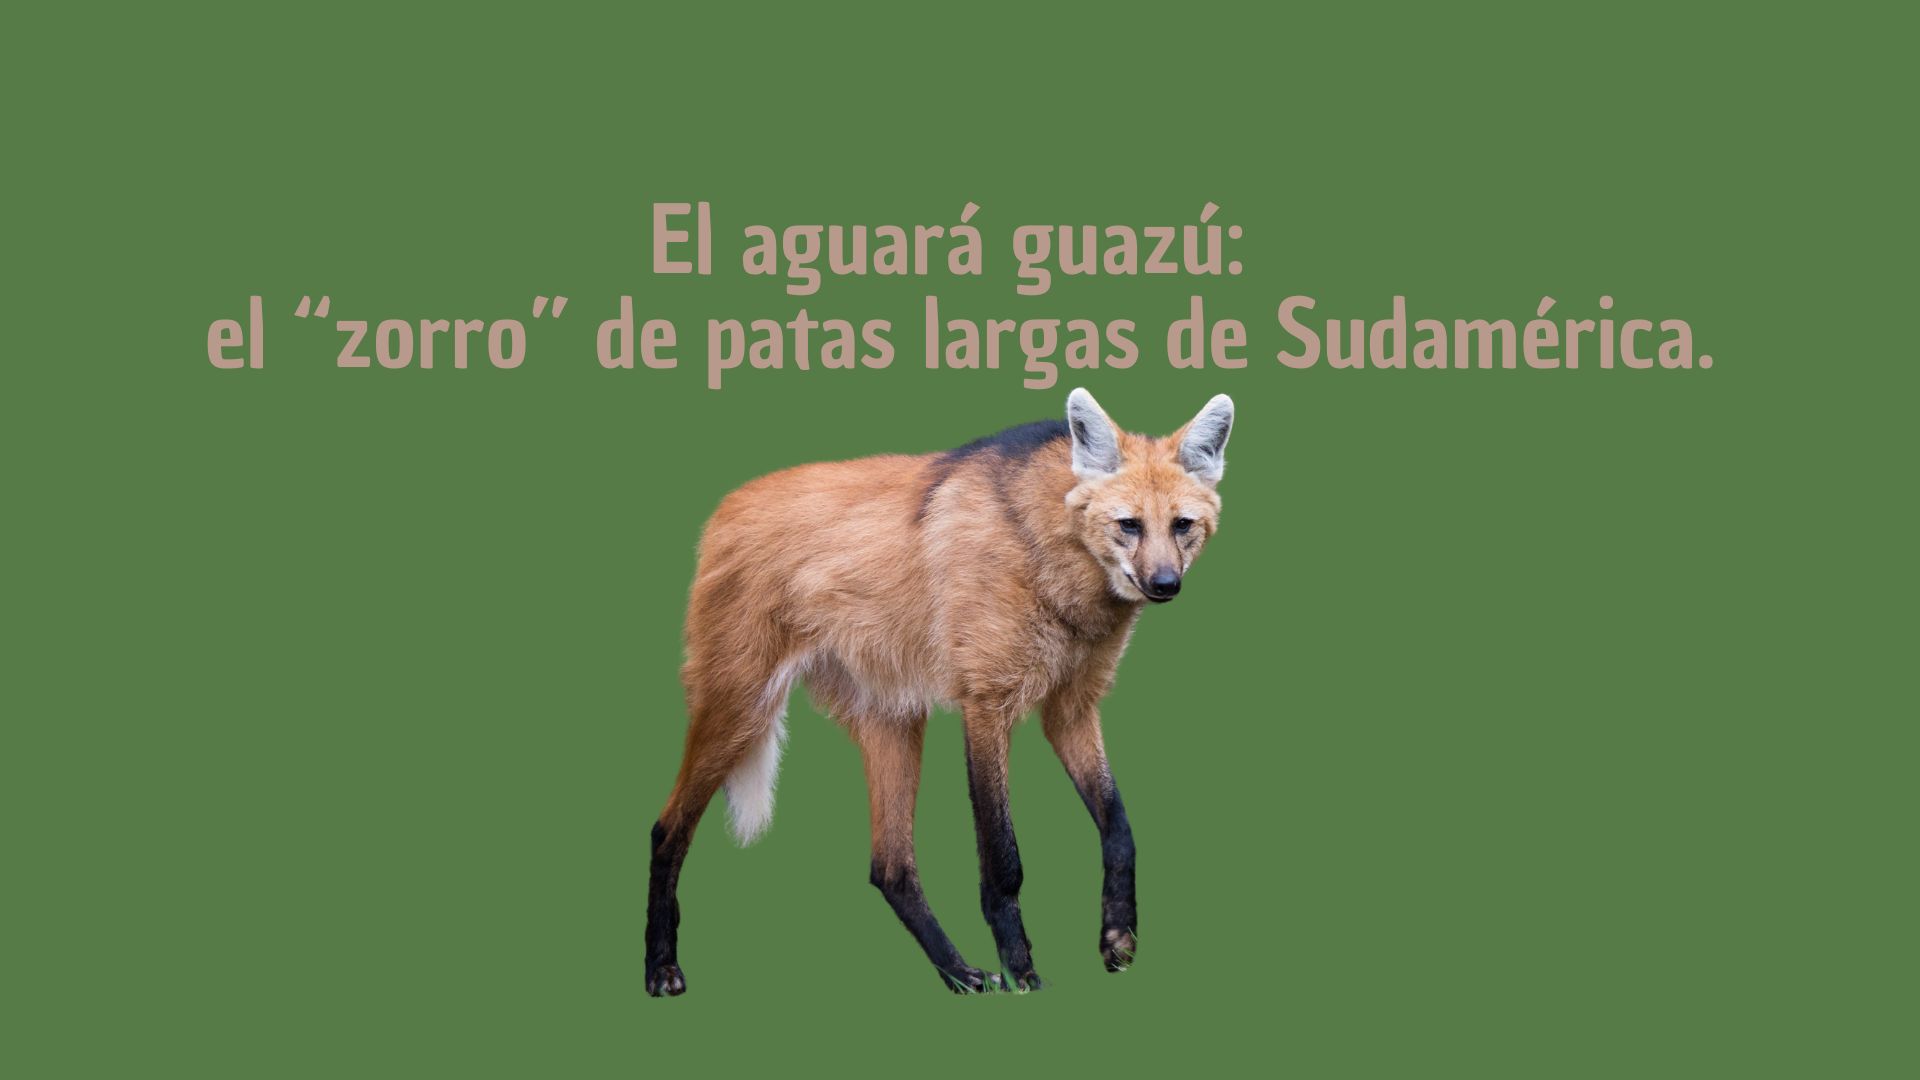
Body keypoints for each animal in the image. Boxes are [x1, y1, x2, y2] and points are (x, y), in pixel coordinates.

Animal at [644, 387, 1235, 995]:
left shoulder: (1071, 707)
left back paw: (959, 972)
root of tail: (726, 506)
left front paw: (1117, 936)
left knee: (890, 868)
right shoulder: (987, 704)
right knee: (666, 831)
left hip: (894, 719)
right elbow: (1004, 860)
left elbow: (1120, 827)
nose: (1165, 584)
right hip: (742, 709)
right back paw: (661, 968)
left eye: (1182, 525)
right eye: (1129, 525)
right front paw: (1022, 971)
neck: (1052, 557)